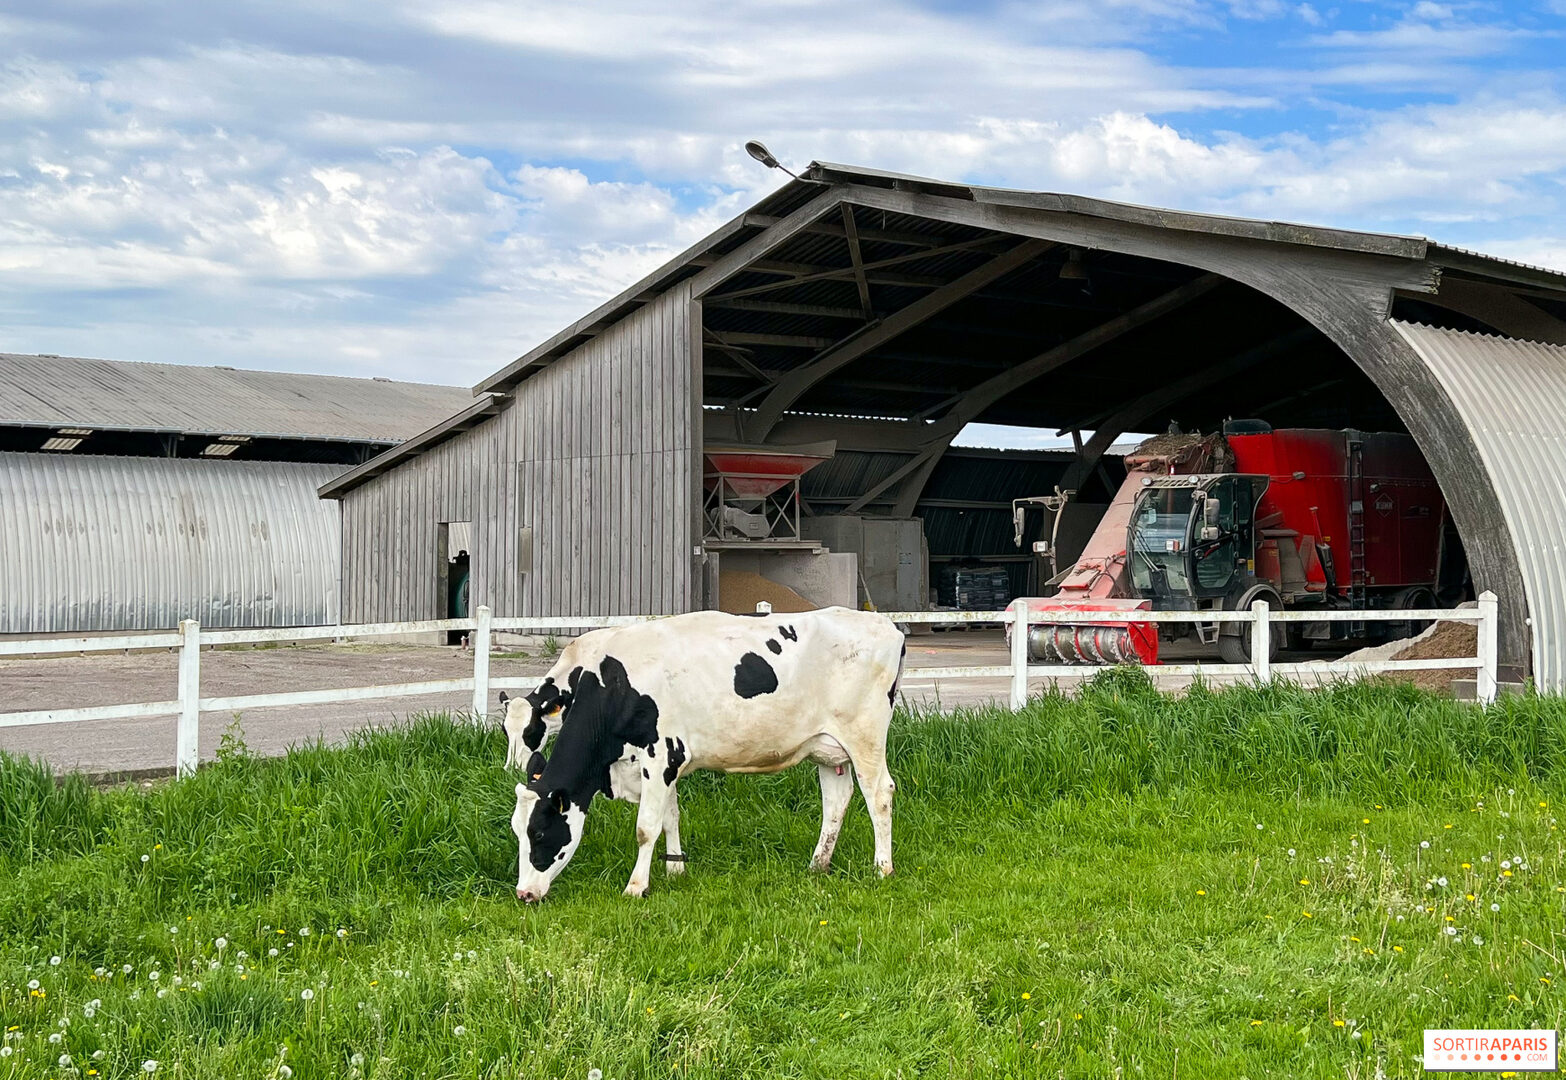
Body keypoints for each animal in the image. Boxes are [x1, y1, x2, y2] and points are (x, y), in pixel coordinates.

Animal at [513, 607, 908, 901]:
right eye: (517, 831)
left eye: (540, 833)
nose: (524, 894)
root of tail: (886, 625)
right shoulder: (667, 764)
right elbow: (670, 818)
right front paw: (675, 870)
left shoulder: (660, 756)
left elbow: (646, 827)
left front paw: (636, 887)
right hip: (828, 749)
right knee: (836, 801)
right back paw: (818, 865)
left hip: (864, 736)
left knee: (879, 794)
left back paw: (882, 869)